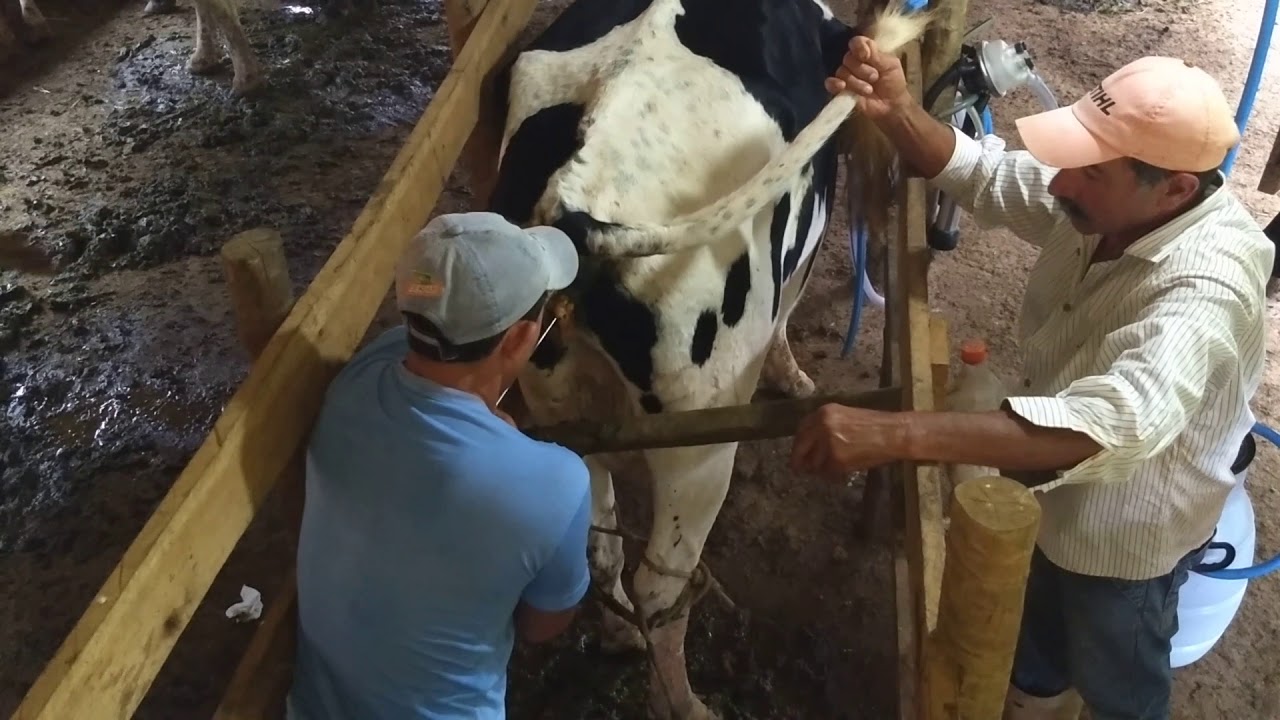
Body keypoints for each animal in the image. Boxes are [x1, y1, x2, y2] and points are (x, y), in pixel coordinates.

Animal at [482, 1, 931, 717]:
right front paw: (792, 375)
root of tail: (574, 206)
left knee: (598, 549)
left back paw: (617, 635)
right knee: (661, 586)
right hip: (699, 440)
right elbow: (789, 308)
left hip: (558, 407)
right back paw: (686, 702)